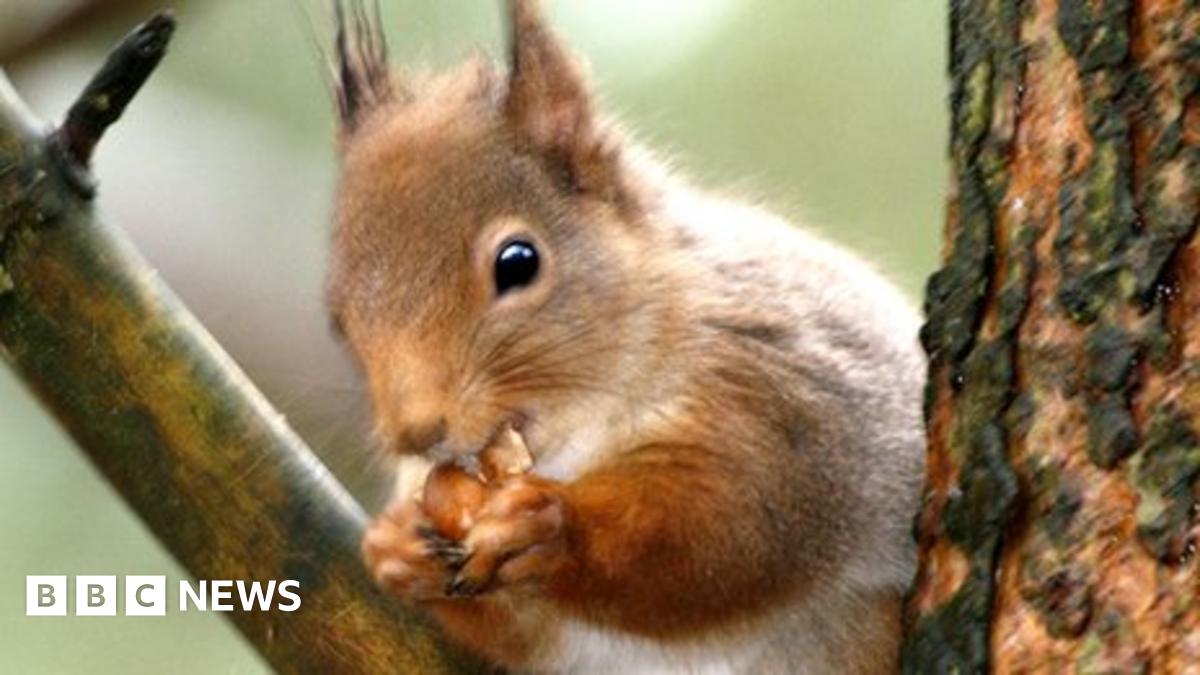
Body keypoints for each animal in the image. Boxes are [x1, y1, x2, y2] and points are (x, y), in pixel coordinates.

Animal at [325, 1, 926, 672]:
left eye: (518, 262)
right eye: (339, 320)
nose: (414, 433)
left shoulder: (782, 404)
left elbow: (729, 532)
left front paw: (552, 530)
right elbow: (520, 632)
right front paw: (393, 548)